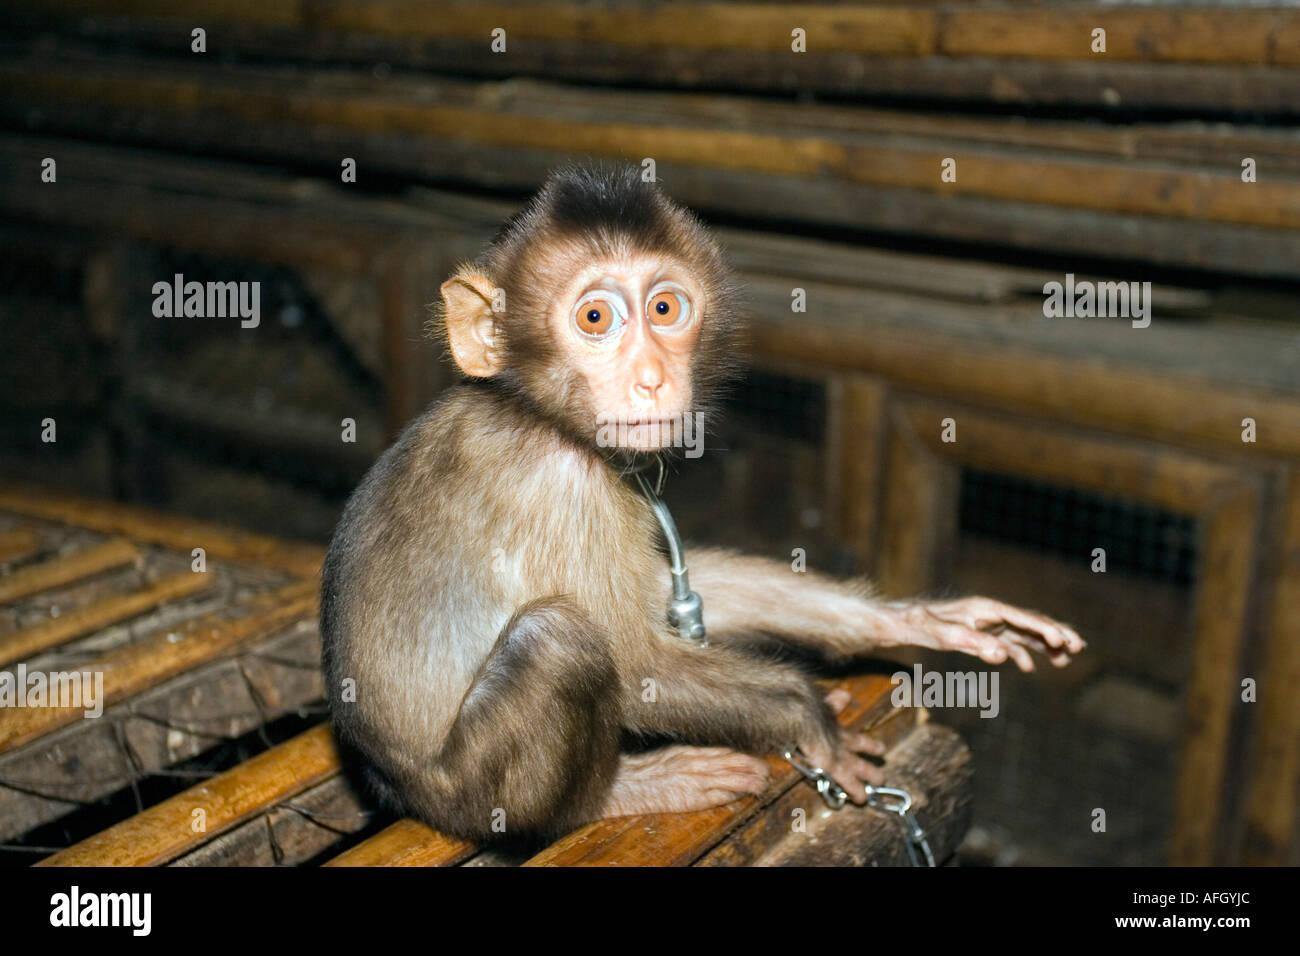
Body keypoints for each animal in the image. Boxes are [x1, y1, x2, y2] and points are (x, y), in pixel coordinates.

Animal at [320, 164, 1084, 844]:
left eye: (665, 309)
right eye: (594, 317)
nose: (652, 378)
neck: (536, 415)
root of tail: (396, 790)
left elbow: (671, 592)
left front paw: (916, 619)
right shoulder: (559, 483)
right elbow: (638, 667)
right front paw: (810, 718)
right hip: (467, 796)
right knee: (558, 640)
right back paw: (614, 796)